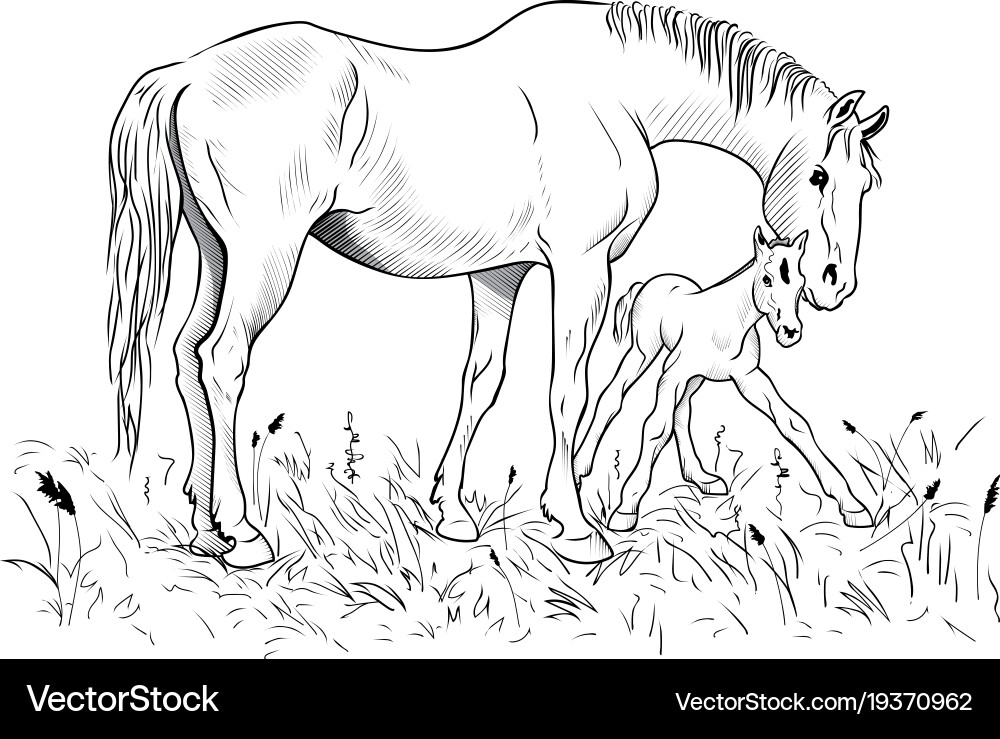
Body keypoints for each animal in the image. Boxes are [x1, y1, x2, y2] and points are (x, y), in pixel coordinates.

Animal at [576, 227, 871, 530]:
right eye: (767, 279)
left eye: (800, 284)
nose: (790, 331)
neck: (730, 324)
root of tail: (653, 281)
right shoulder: (672, 374)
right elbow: (656, 427)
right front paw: (626, 508)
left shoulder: (749, 378)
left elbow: (793, 424)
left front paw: (852, 504)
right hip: (643, 352)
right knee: (612, 396)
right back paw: (580, 465)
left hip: (694, 379)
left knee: (681, 412)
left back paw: (701, 478)